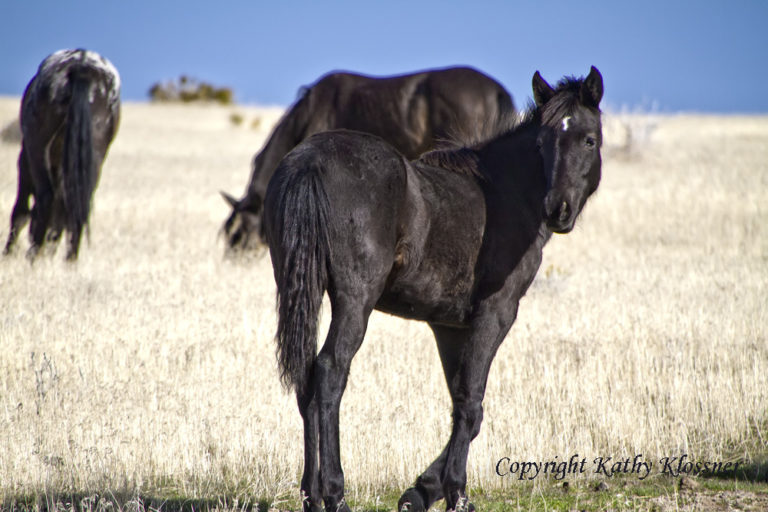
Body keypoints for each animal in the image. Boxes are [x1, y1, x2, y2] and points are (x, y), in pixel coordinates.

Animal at [3, 49, 121, 261]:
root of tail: (83, 66)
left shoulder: (24, 158)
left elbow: (21, 211)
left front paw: (7, 254)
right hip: (96, 151)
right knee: (79, 206)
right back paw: (69, 262)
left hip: (37, 148)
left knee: (45, 199)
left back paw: (32, 259)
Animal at [263, 66, 604, 512]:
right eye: (542, 143)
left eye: (588, 139)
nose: (557, 210)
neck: (504, 194)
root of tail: (309, 161)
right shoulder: (496, 314)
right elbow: (472, 404)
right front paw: (455, 492)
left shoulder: (448, 328)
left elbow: (460, 403)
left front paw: (422, 490)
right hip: (355, 302)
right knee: (330, 373)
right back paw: (334, 493)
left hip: (302, 289)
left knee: (306, 381)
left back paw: (310, 496)